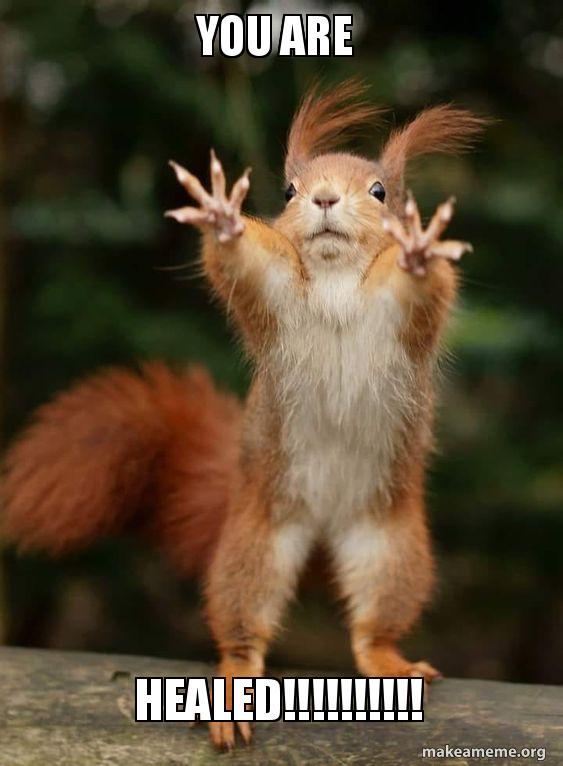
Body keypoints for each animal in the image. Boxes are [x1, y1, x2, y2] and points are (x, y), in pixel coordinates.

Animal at [2, 80, 486, 750]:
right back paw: (234, 686)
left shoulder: (403, 316)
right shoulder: (277, 293)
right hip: (256, 542)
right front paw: (224, 221)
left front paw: (417, 250)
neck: (335, 279)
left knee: (373, 626)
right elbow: (247, 265)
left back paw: (389, 660)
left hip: (391, 546)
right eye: (288, 191)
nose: (324, 198)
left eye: (380, 192)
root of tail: (324, 525)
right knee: (242, 627)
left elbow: (422, 286)